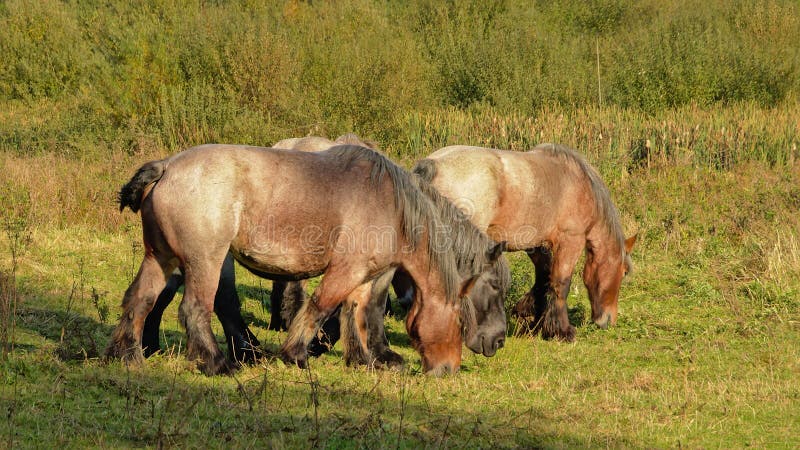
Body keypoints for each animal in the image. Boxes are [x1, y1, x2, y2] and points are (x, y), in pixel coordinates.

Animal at [106, 143, 504, 375]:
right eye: (461, 316)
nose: (449, 369)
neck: (393, 204)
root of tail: (166, 166)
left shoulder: (364, 276)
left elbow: (357, 315)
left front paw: (364, 360)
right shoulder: (347, 271)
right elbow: (321, 307)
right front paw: (296, 354)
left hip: (160, 259)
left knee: (139, 301)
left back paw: (127, 356)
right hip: (204, 262)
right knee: (196, 309)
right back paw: (219, 363)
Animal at [412, 143, 636, 342]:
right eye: (624, 272)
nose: (608, 321)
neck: (579, 183)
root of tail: (433, 165)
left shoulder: (536, 243)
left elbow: (544, 277)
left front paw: (534, 320)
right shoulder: (570, 241)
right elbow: (561, 283)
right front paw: (562, 331)